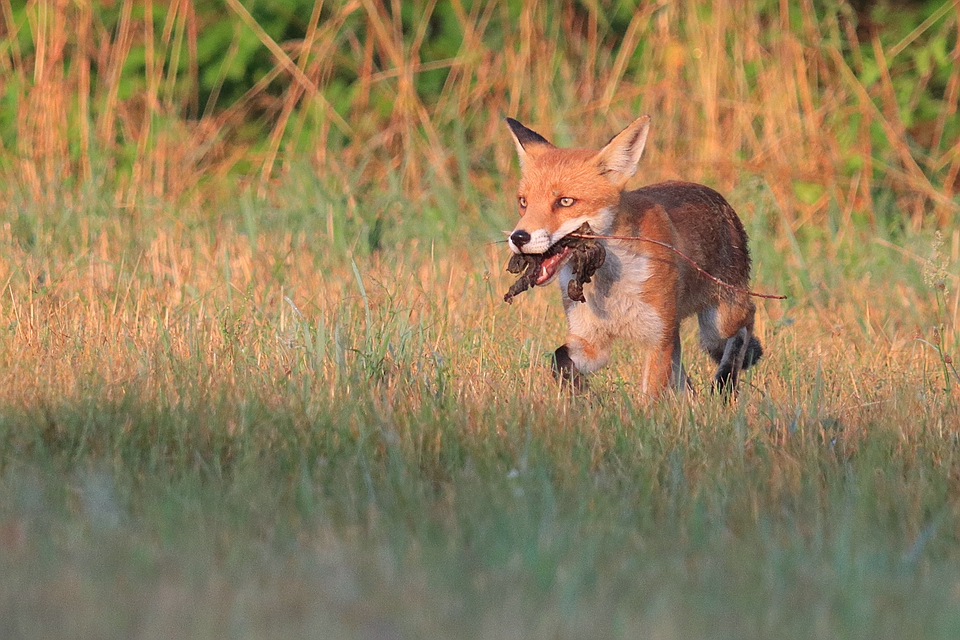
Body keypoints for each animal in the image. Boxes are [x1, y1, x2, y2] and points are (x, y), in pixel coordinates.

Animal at [506, 115, 760, 396]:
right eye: (523, 202)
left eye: (565, 201)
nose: (518, 238)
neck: (611, 287)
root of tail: (720, 199)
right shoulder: (592, 340)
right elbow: (559, 358)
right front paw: (583, 394)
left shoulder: (657, 340)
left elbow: (649, 398)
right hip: (679, 333)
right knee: (685, 380)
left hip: (717, 324)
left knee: (746, 322)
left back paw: (725, 383)